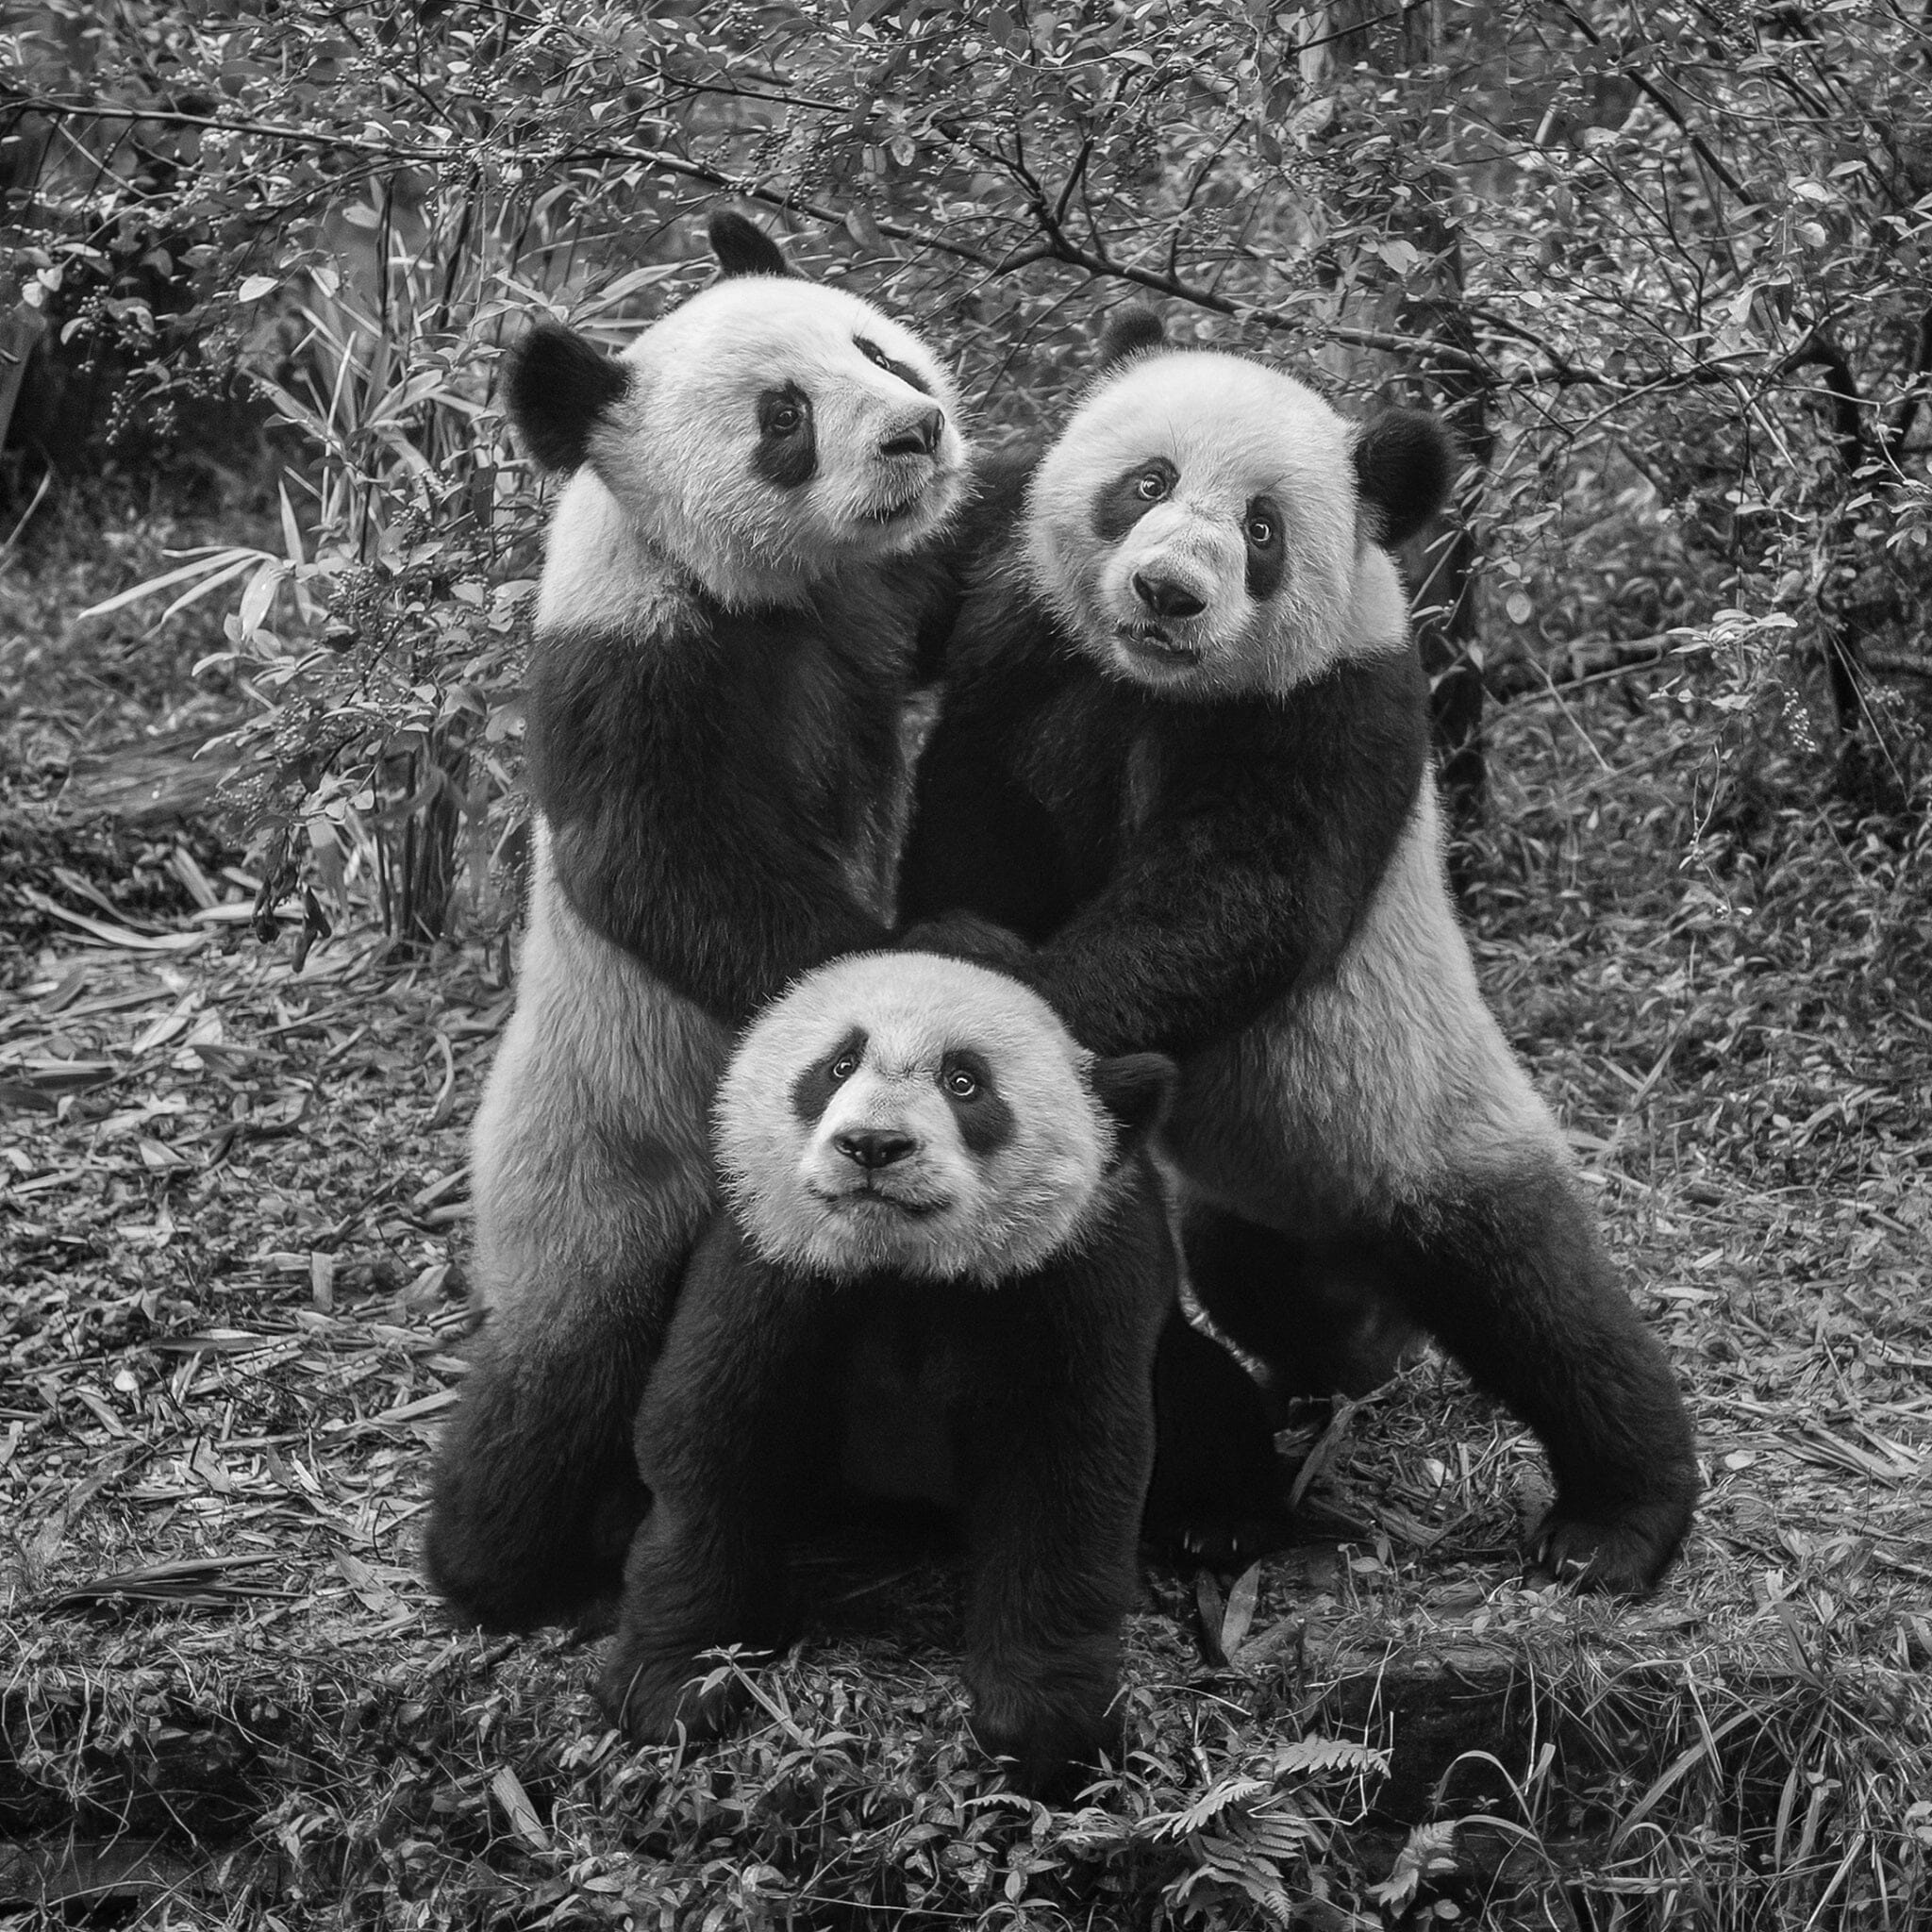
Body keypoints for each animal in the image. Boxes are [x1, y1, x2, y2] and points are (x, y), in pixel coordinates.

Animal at [424, 212, 973, 1634]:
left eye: (875, 347)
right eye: (784, 417)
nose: (918, 430)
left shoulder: (875, 602)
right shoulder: (633, 666)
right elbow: (662, 869)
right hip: (602, 1163)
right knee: (563, 1369)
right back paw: (498, 1563)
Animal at [599, 948, 1193, 1798]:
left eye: (965, 1081)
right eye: (838, 1064)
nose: (873, 1145)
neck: (905, 1268)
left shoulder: (1066, 1286)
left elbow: (1068, 1478)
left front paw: (1045, 1727)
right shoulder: (772, 1264)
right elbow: (705, 1441)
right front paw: (670, 1683)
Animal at [899, 314, 1700, 1596]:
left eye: (1263, 529)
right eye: (1146, 483)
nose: (1168, 592)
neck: (1150, 681)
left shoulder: (1329, 707)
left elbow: (1240, 903)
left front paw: (1002, 999)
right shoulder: (1021, 615)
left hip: (1428, 1128)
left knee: (1540, 1302)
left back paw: (1613, 1517)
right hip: (1264, 1191)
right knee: (1263, 1285)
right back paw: (1305, 1390)